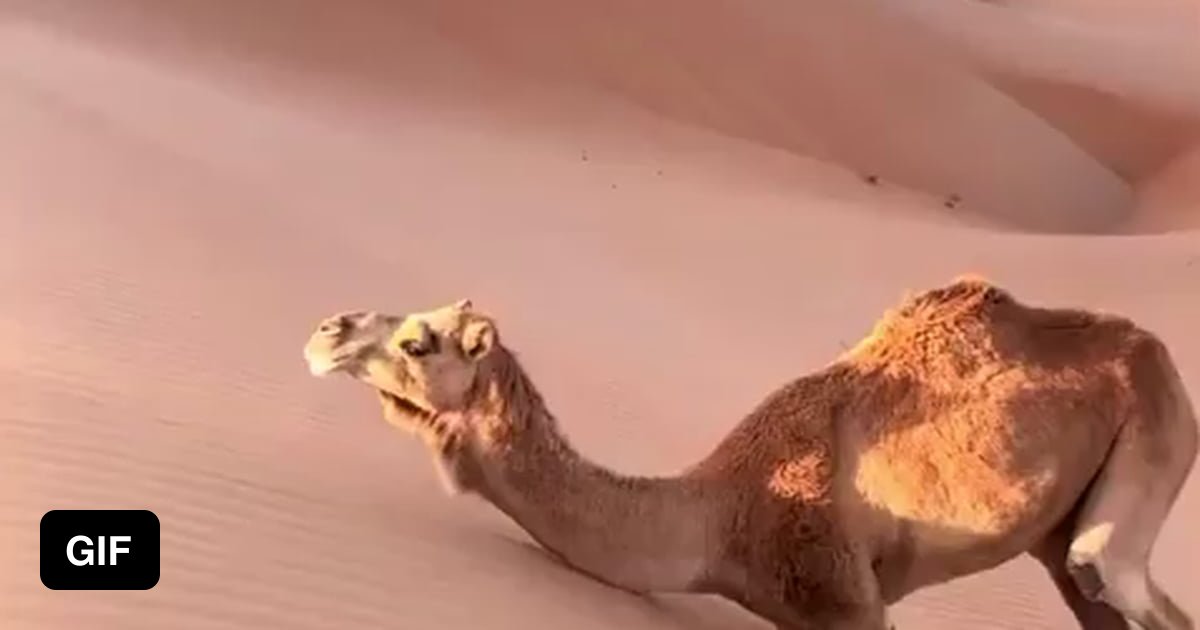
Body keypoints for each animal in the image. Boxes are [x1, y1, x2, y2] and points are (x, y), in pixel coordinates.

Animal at [301, 277, 1197, 630]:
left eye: (418, 343)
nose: (326, 329)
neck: (719, 517)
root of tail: (1152, 347)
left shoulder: (846, 601)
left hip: (1153, 440)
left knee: (1119, 576)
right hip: (1059, 534)